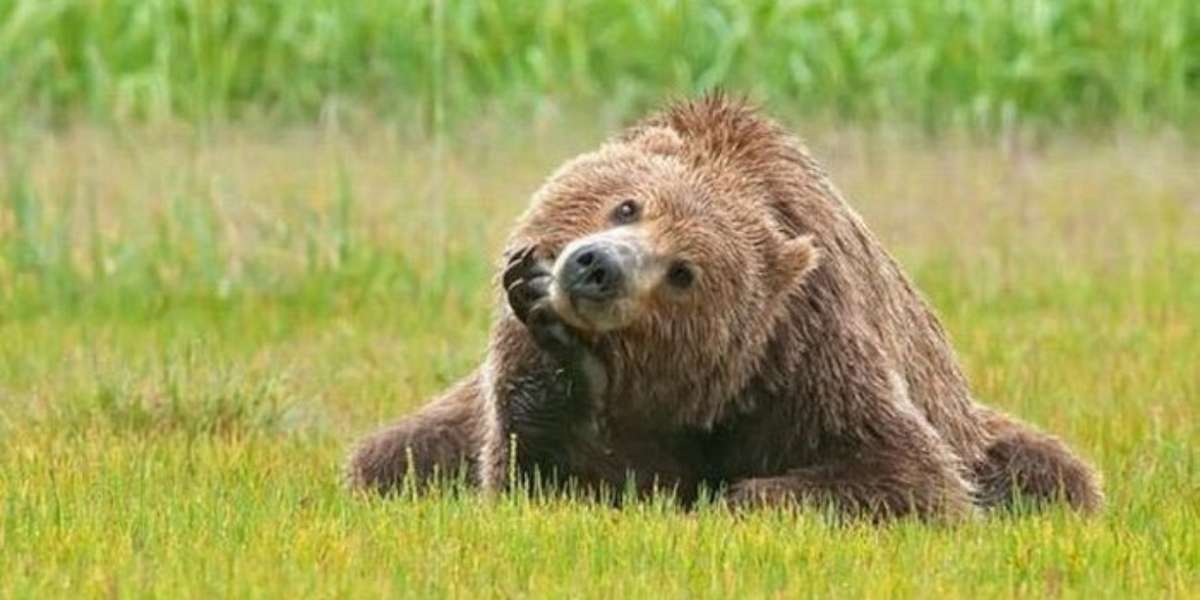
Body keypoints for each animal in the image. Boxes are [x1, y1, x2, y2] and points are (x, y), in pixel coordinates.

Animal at [346, 93, 1103, 519]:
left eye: (684, 273)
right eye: (628, 205)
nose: (596, 267)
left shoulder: (805, 359)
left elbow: (908, 473)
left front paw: (735, 496)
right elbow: (533, 476)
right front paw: (560, 355)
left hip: (979, 432)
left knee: (1053, 472)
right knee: (391, 454)